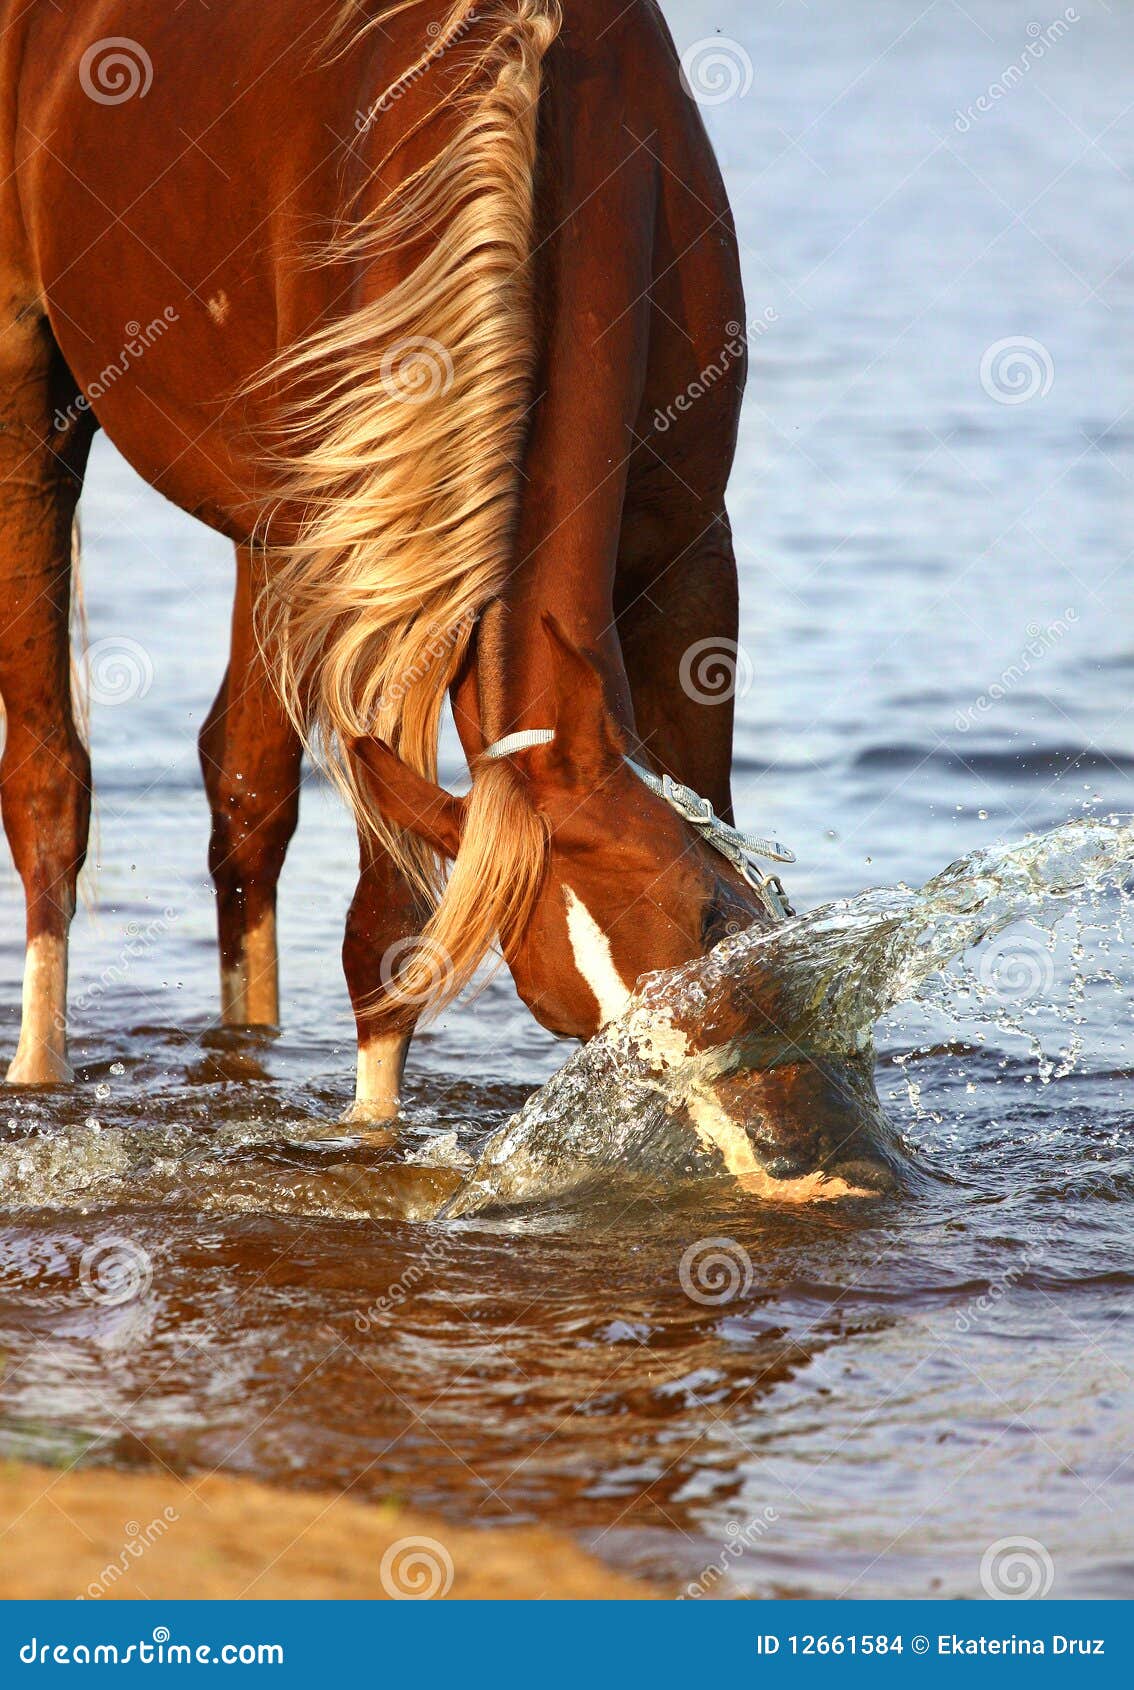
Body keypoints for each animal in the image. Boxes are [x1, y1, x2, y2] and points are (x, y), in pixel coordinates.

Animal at [0, 0, 818, 1179]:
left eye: (710, 919)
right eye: (579, 1030)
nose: (778, 1150)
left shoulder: (691, 551)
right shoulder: (367, 598)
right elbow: (385, 925)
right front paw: (373, 1134)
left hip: (277, 534)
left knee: (244, 794)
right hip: (35, 388)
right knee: (49, 782)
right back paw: (39, 1067)